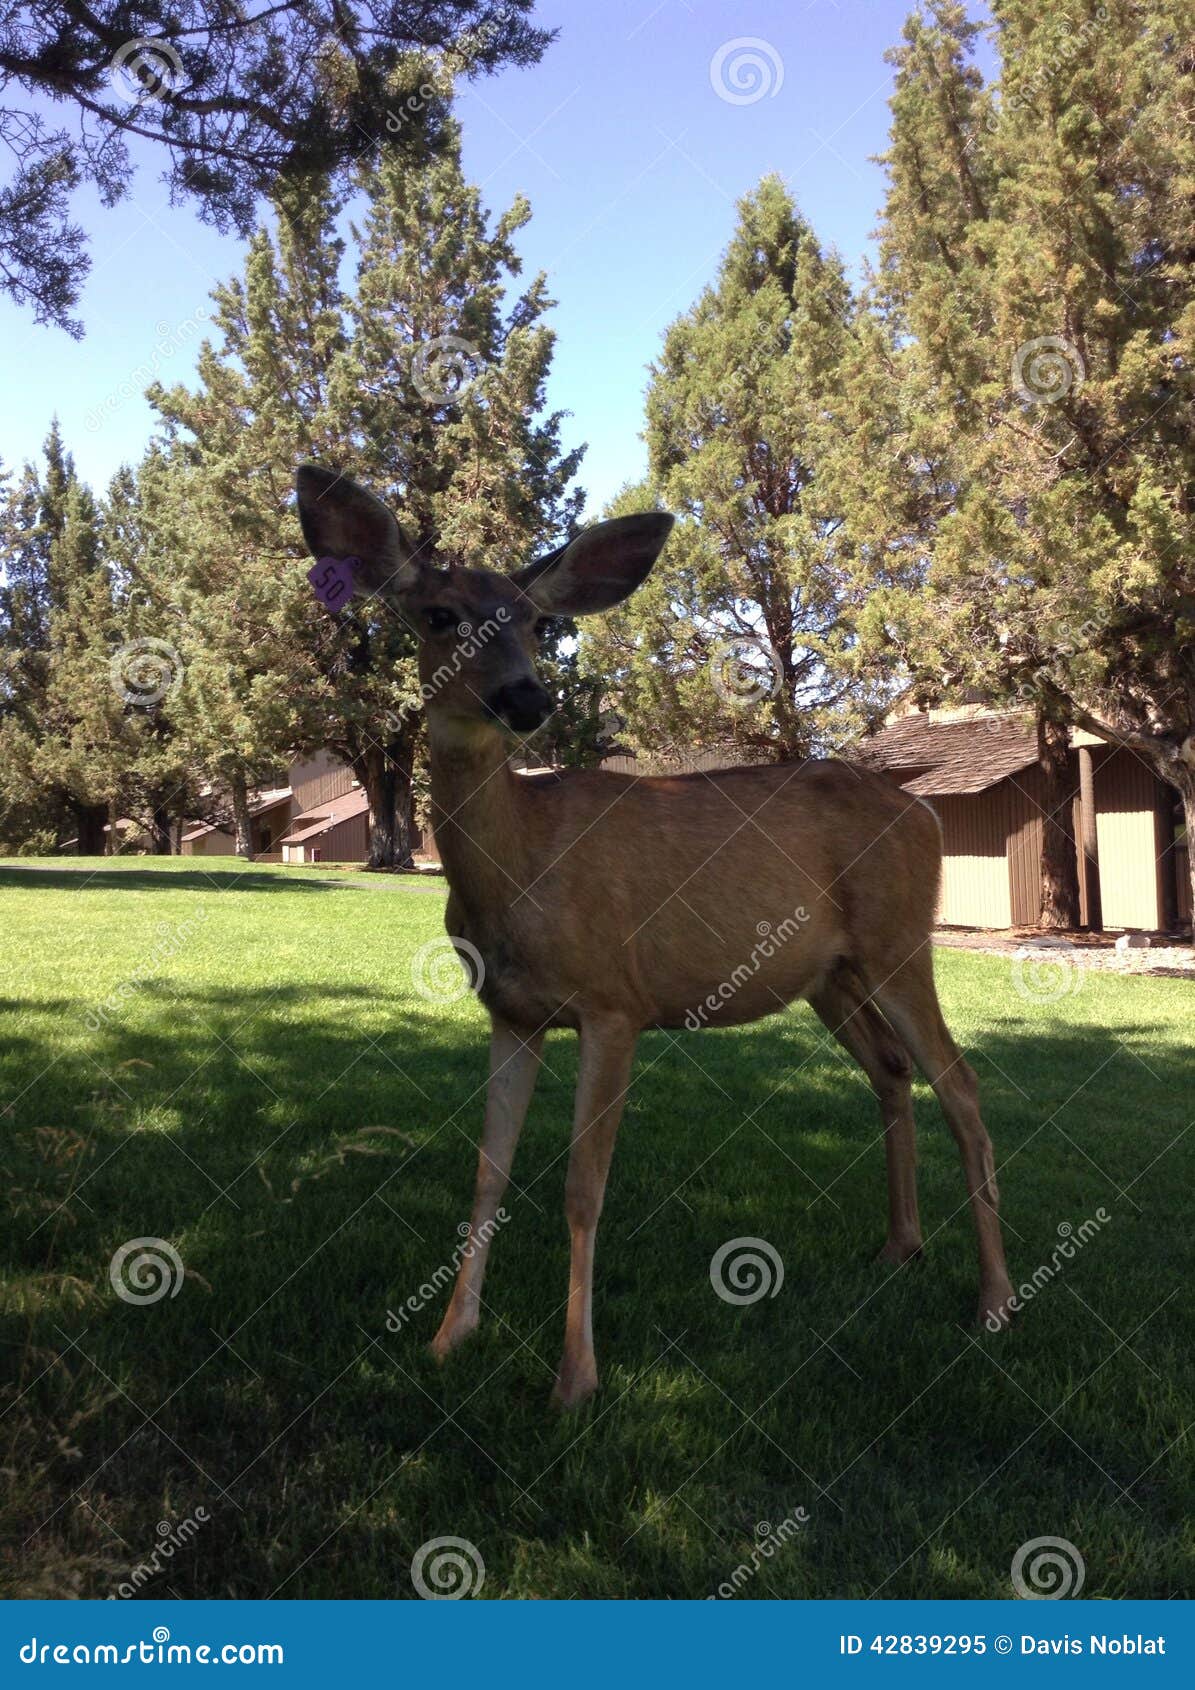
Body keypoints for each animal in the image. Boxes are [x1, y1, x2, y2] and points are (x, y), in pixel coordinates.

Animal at [295, 464, 1015, 1408]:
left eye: (537, 622)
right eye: (440, 614)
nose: (526, 698)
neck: (521, 865)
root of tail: (924, 812)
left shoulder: (614, 1001)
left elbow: (581, 1189)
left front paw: (574, 1378)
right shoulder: (511, 1012)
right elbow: (487, 1173)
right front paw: (449, 1336)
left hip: (900, 939)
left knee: (961, 1085)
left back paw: (993, 1301)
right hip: (831, 974)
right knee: (892, 1073)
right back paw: (899, 1247)